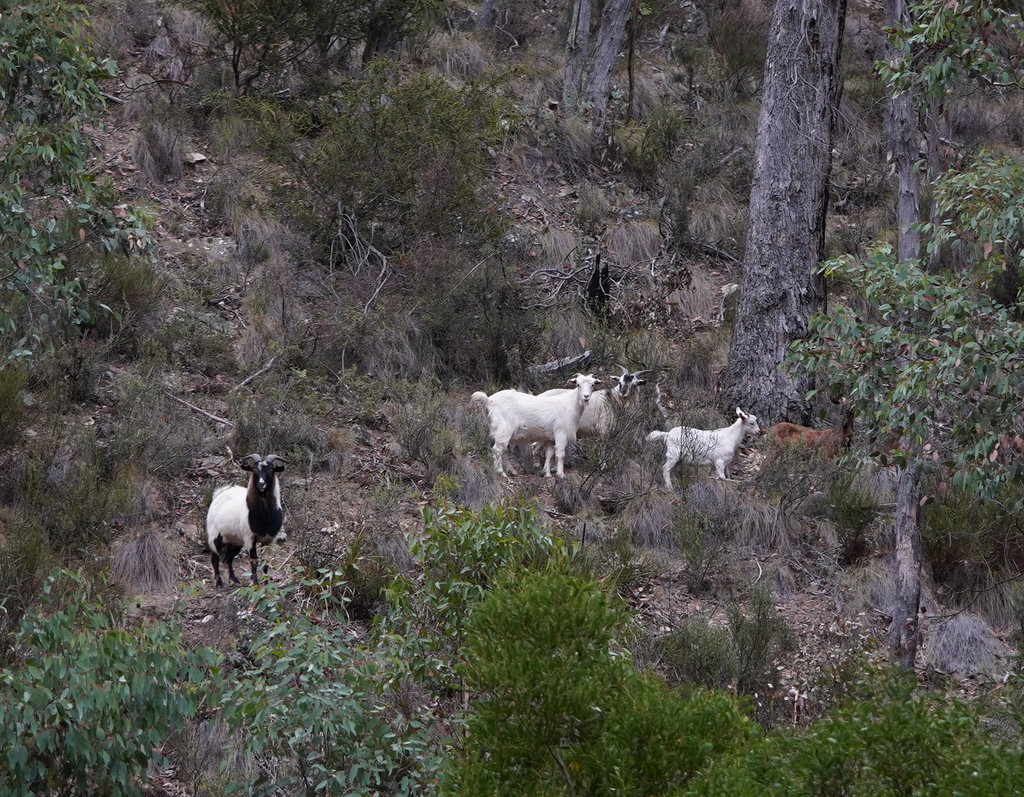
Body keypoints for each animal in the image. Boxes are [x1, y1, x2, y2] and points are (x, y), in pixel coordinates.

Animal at [207, 453, 288, 587]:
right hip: (214, 535)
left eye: (271, 469)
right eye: (254, 469)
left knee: (228, 558)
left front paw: (266, 583)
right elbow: (254, 561)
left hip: (235, 541)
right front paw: (255, 583)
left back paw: (234, 579)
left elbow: (265, 562)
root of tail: (219, 494)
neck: (264, 517)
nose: (261, 484)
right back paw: (219, 582)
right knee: (215, 558)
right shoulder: (250, 538)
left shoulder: (269, 540)